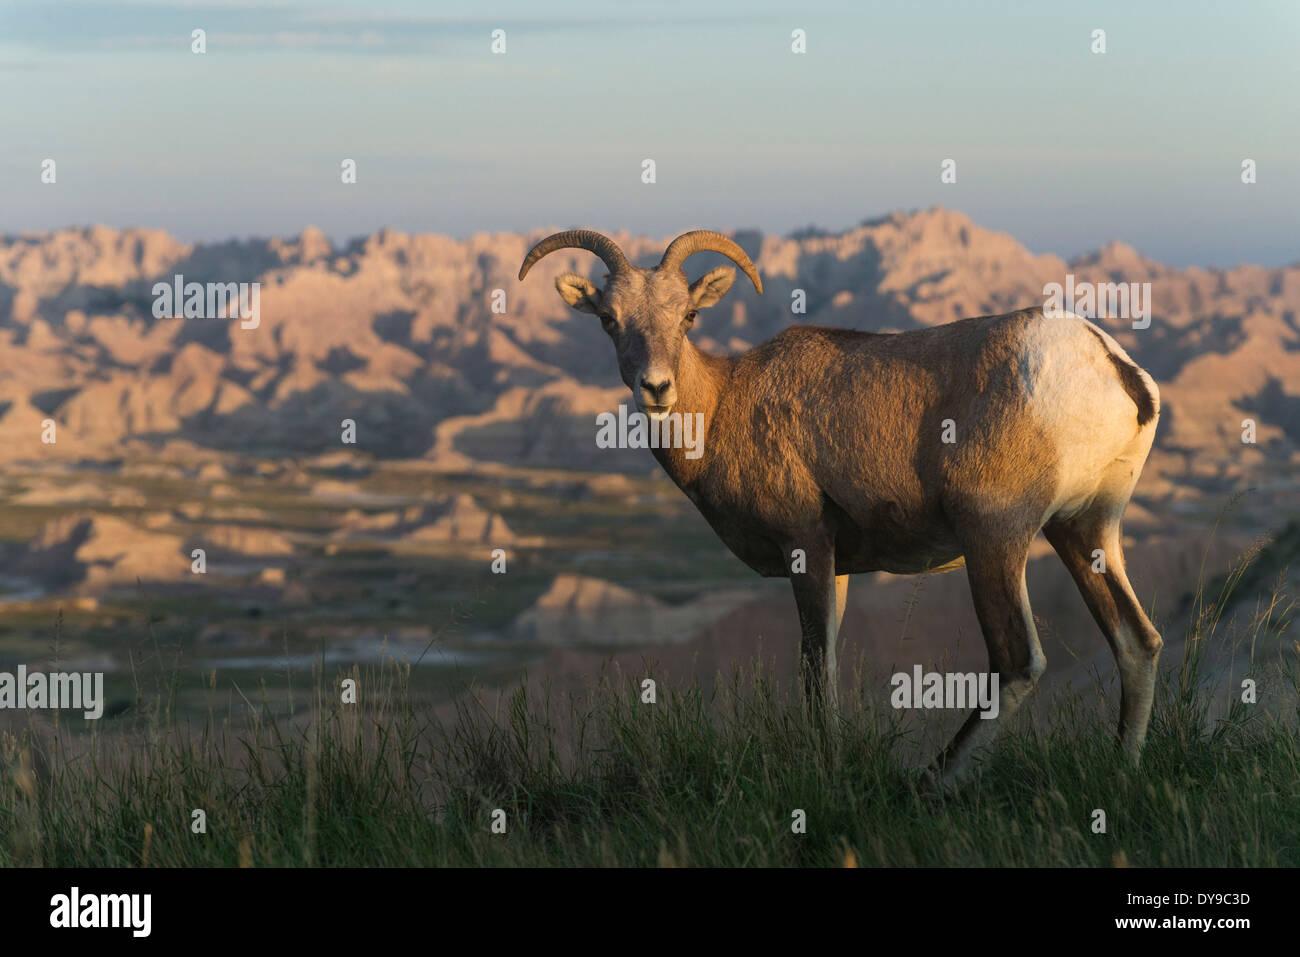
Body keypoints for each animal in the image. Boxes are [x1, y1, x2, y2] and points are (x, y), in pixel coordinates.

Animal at [518, 228, 1163, 785]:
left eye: (688, 316)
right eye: (610, 319)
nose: (656, 389)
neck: (725, 402)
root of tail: (1112, 367)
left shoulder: (805, 545)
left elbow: (814, 667)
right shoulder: (840, 566)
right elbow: (827, 660)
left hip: (995, 538)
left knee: (1018, 661)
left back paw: (932, 782)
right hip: (1085, 531)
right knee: (1137, 641)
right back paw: (1121, 771)